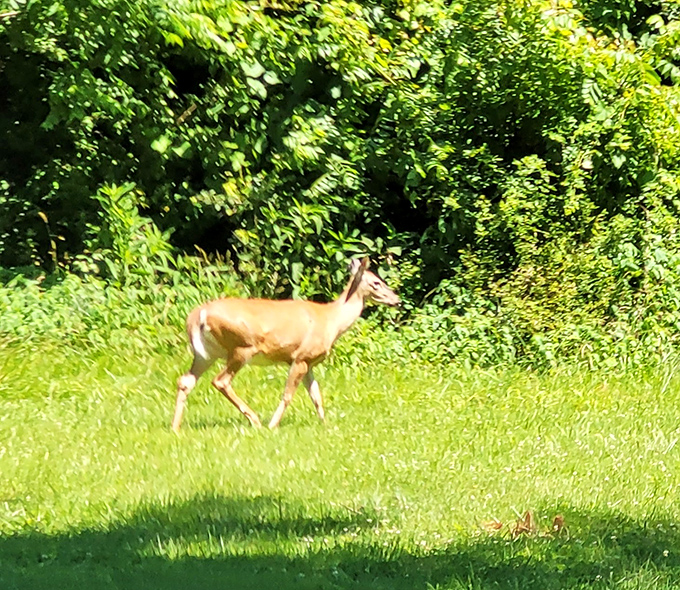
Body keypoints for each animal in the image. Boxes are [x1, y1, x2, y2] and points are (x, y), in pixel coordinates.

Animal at [172, 257, 400, 431]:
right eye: (376, 282)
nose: (396, 299)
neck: (331, 320)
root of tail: (199, 315)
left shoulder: (309, 362)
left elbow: (316, 396)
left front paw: (326, 425)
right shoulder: (300, 357)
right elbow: (288, 395)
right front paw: (273, 425)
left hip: (206, 353)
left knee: (185, 381)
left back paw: (175, 427)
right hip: (241, 347)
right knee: (221, 381)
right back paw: (255, 421)